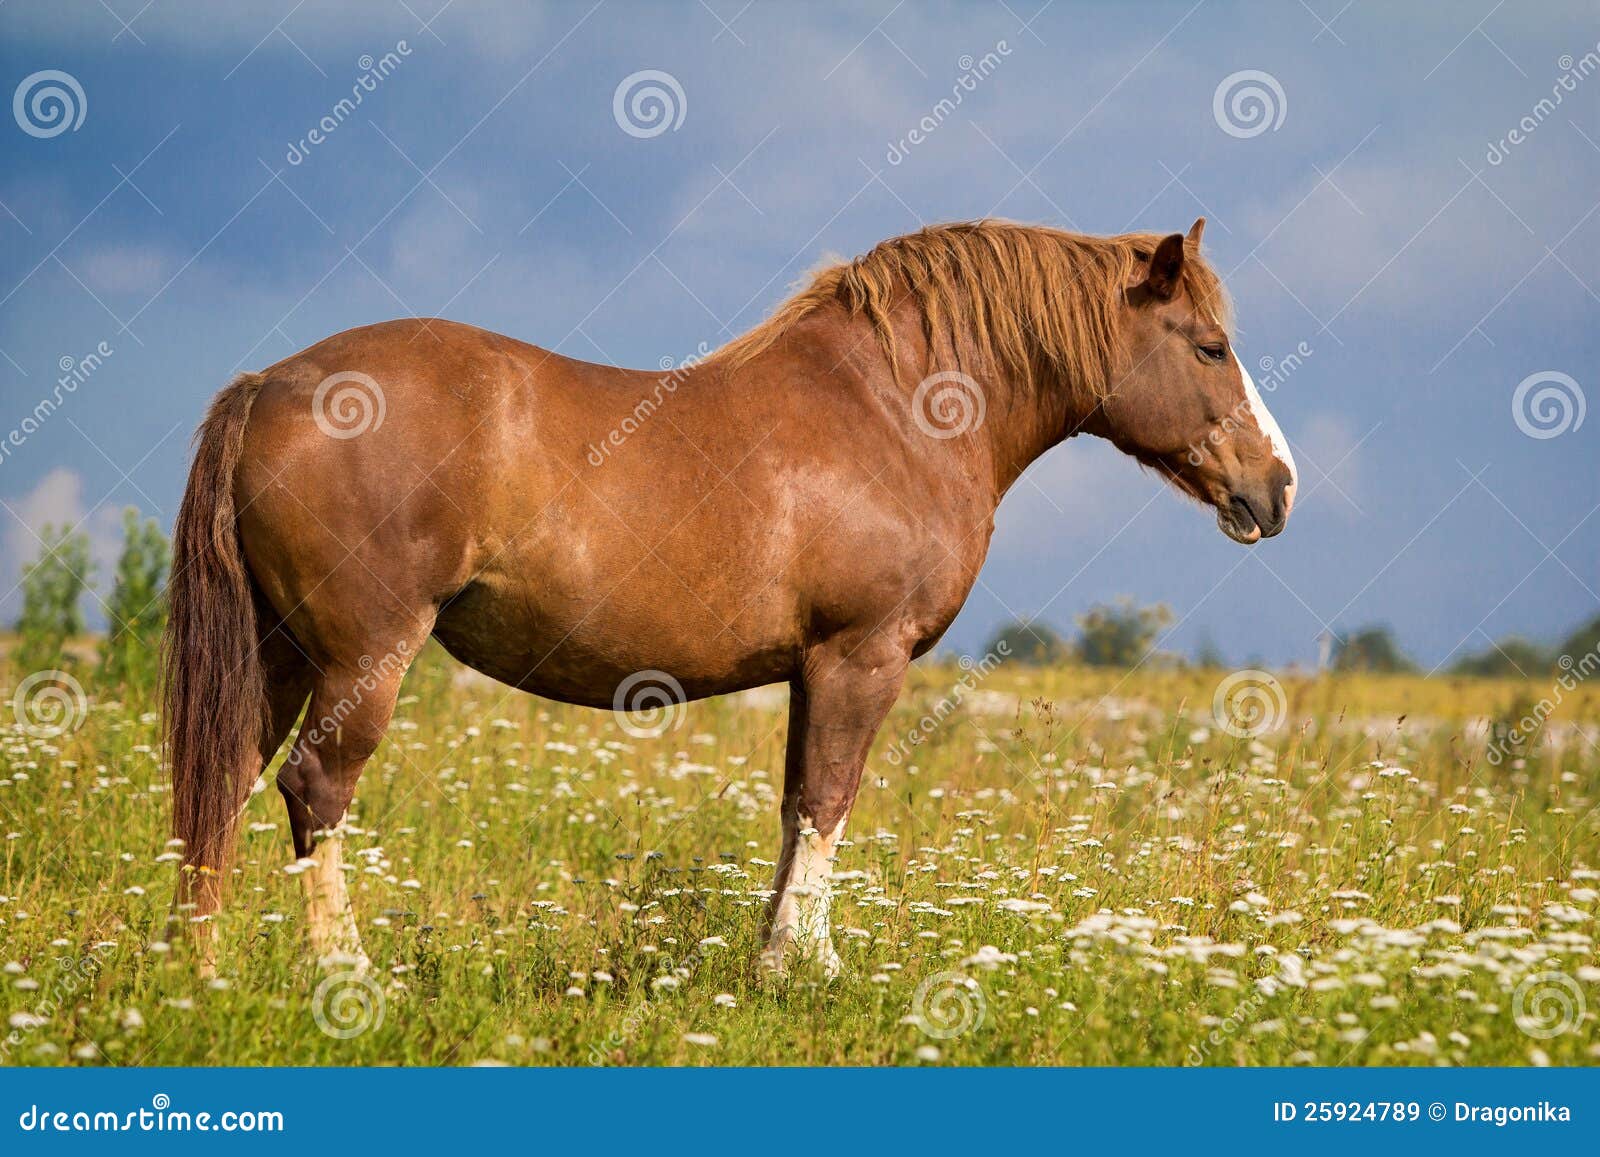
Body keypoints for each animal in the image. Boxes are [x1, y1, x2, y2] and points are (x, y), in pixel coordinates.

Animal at [163, 217, 1295, 976]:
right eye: (1208, 345)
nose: (1277, 486)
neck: (896, 408)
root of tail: (270, 384)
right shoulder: (860, 657)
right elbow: (830, 801)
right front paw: (807, 968)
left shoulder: (810, 669)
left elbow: (795, 806)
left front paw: (770, 960)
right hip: (365, 657)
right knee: (314, 788)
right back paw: (343, 975)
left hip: (278, 655)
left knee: (221, 785)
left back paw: (200, 969)